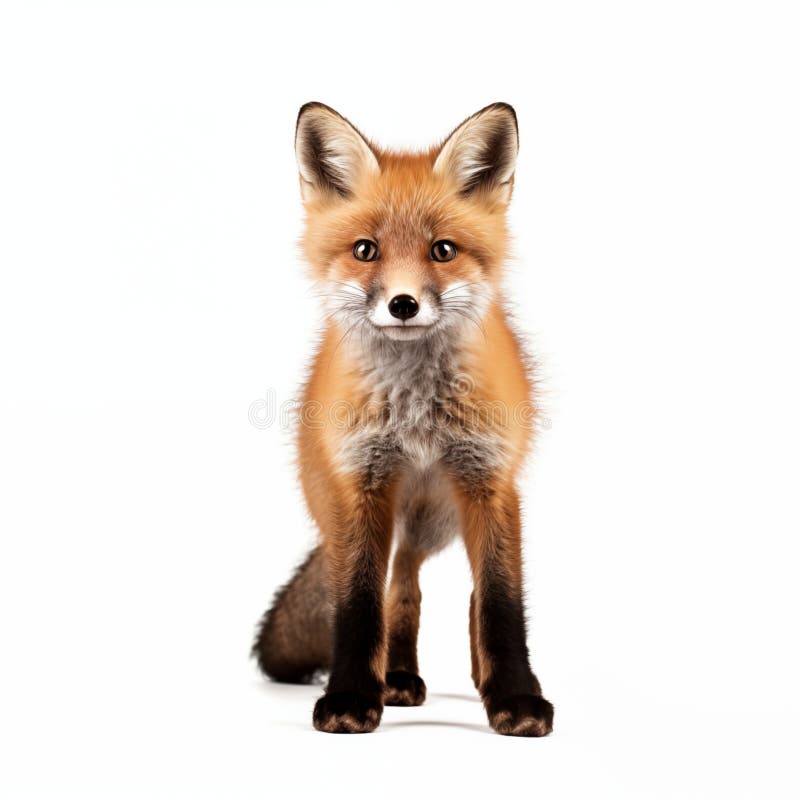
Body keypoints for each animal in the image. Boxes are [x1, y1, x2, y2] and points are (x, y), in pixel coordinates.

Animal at [252, 102, 554, 736]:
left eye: (443, 250)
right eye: (366, 250)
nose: (403, 304)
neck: (417, 419)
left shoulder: (490, 481)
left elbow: (500, 601)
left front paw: (515, 697)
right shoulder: (362, 485)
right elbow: (360, 604)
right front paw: (350, 696)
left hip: (443, 519)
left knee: (449, 590)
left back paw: (474, 677)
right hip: (368, 519)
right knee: (398, 588)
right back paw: (395, 677)